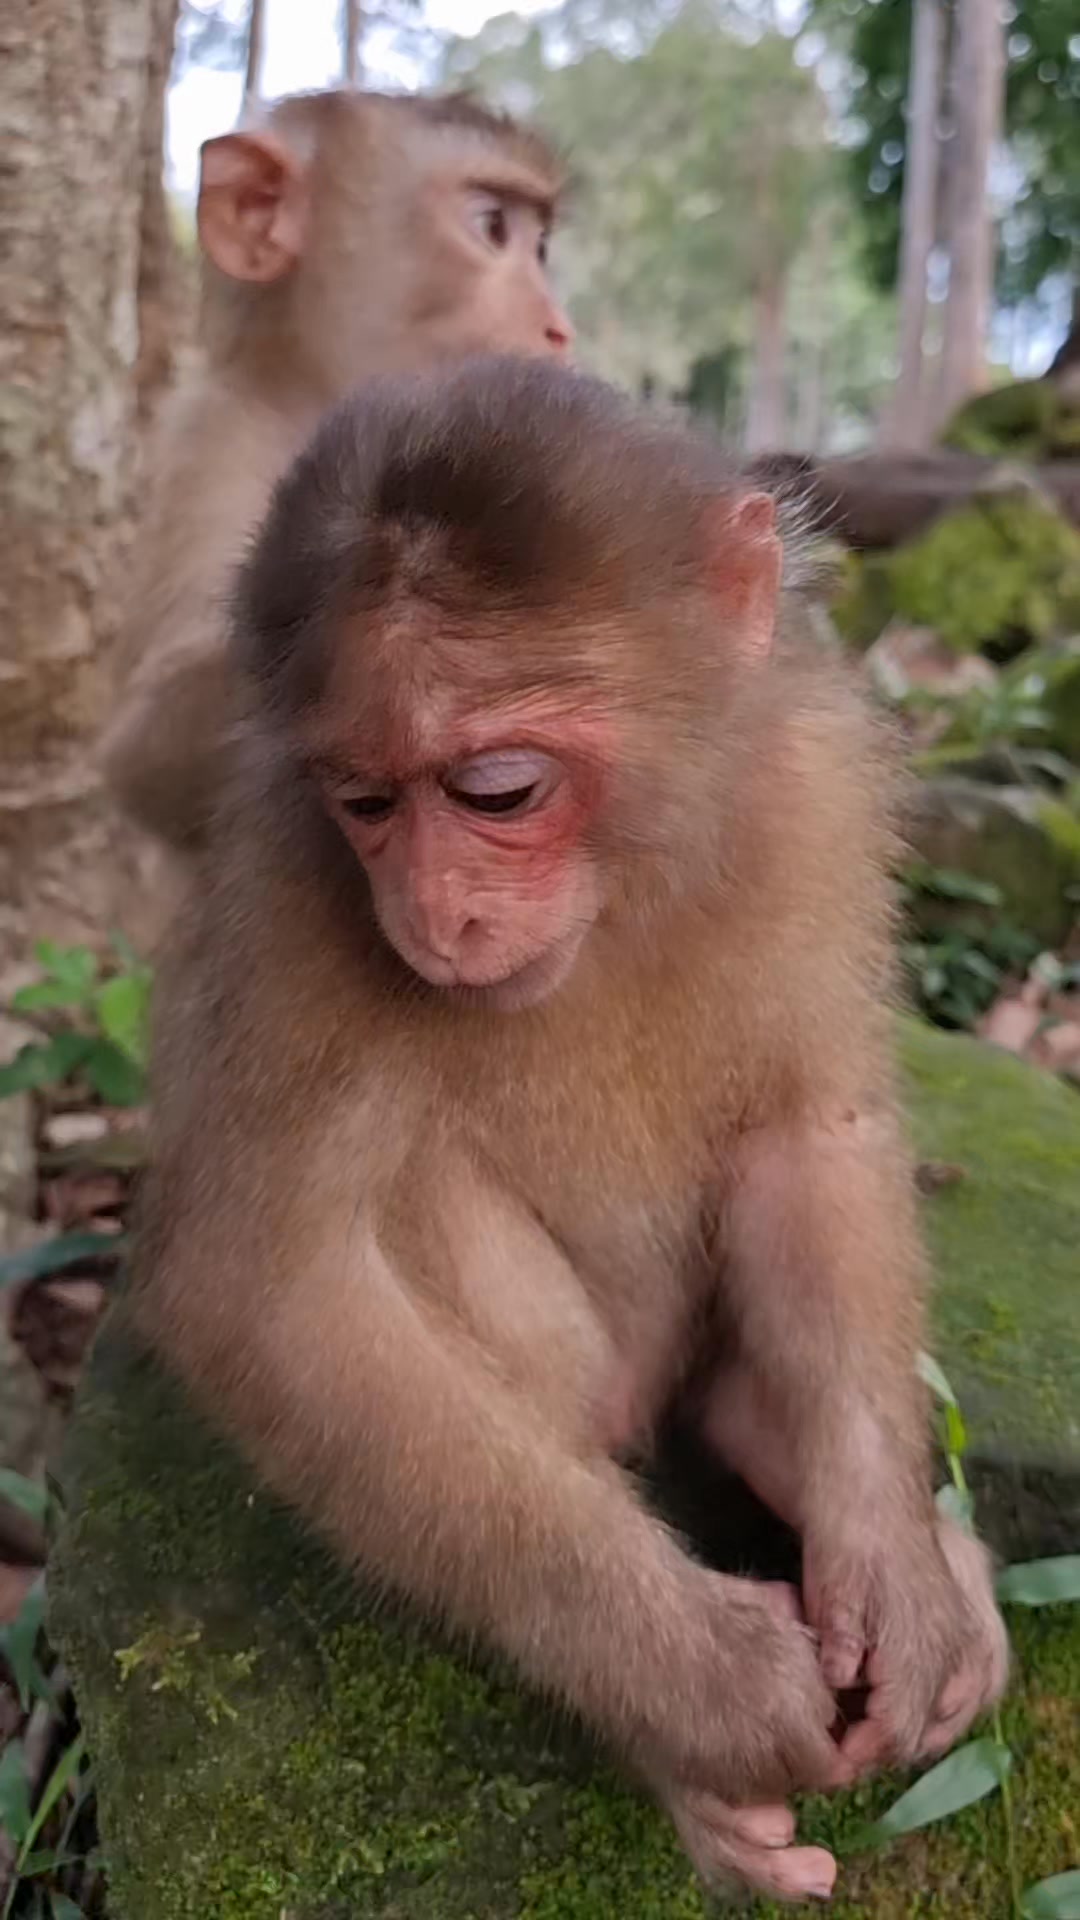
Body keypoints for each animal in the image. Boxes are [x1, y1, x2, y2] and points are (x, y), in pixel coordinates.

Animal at [129, 357, 1008, 1904]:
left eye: (498, 790)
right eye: (366, 801)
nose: (436, 912)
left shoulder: (816, 769)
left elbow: (814, 1120)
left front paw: (890, 1567)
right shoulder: (294, 878)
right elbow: (264, 1290)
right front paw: (704, 1688)